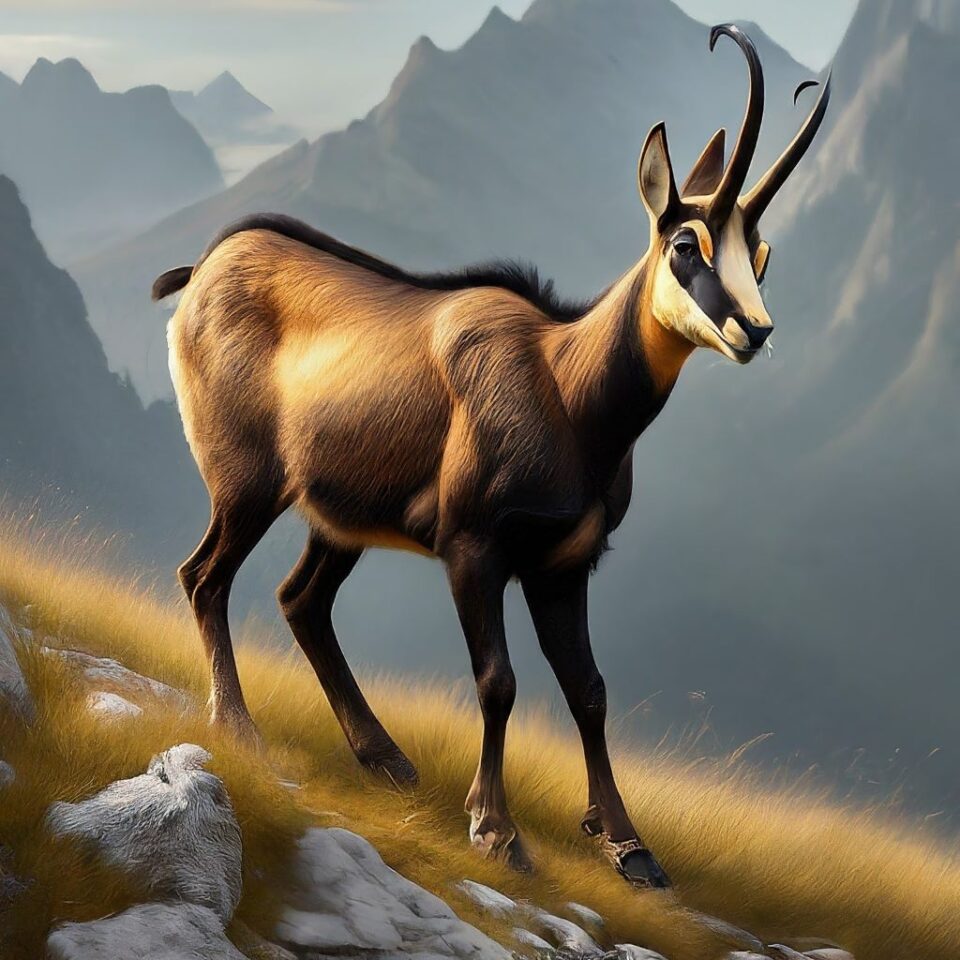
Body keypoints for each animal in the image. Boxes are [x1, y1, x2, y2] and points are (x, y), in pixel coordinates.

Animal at [152, 25, 829, 888]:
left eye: (761, 252)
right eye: (687, 243)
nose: (754, 330)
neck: (566, 387)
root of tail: (203, 270)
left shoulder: (564, 564)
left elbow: (589, 689)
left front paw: (629, 846)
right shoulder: (474, 547)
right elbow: (498, 681)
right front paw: (497, 830)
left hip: (339, 519)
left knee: (301, 599)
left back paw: (386, 758)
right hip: (248, 484)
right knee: (205, 575)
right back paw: (240, 729)